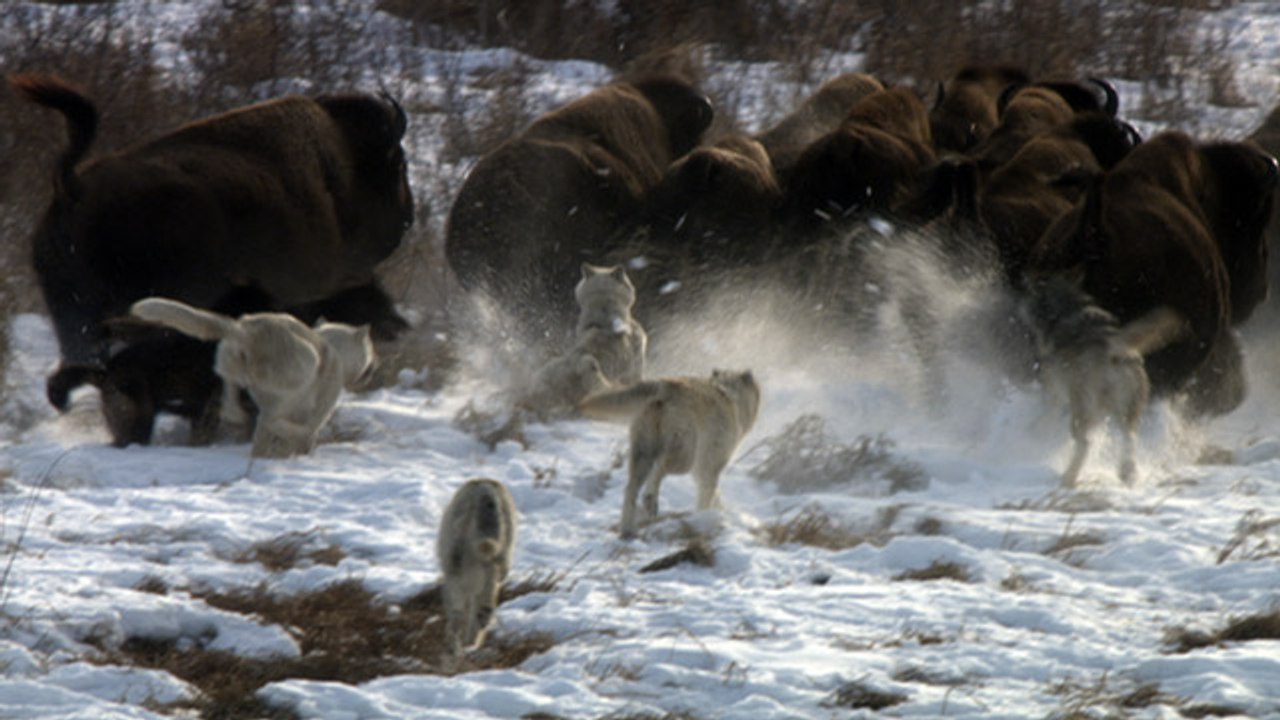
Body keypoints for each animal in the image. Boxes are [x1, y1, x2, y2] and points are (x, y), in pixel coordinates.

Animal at [130, 297, 375, 458]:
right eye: (370, 352)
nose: (374, 366)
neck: (334, 348)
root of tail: (247, 329)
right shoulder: (318, 413)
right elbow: (302, 437)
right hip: (305, 364)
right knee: (269, 416)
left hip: (230, 363)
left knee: (231, 391)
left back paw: (236, 413)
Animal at [436, 478, 517, 655]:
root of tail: (485, 492)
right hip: (496, 566)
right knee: (484, 611)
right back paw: (469, 643)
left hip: (456, 565)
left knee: (458, 615)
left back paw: (456, 646)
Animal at [579, 369, 761, 538]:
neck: (730, 397)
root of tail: (663, 385)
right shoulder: (709, 468)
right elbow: (707, 496)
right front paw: (704, 518)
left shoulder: (700, 470)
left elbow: (715, 495)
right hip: (684, 456)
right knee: (659, 470)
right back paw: (650, 501)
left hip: (644, 452)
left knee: (631, 489)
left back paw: (628, 530)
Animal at [1022, 274, 1189, 487]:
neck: (1068, 308)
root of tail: (1112, 347)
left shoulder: (1054, 394)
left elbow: (1045, 418)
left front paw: (1033, 432)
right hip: (1128, 412)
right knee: (1130, 439)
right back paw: (1127, 474)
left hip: (1081, 411)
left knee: (1085, 444)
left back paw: (1068, 477)